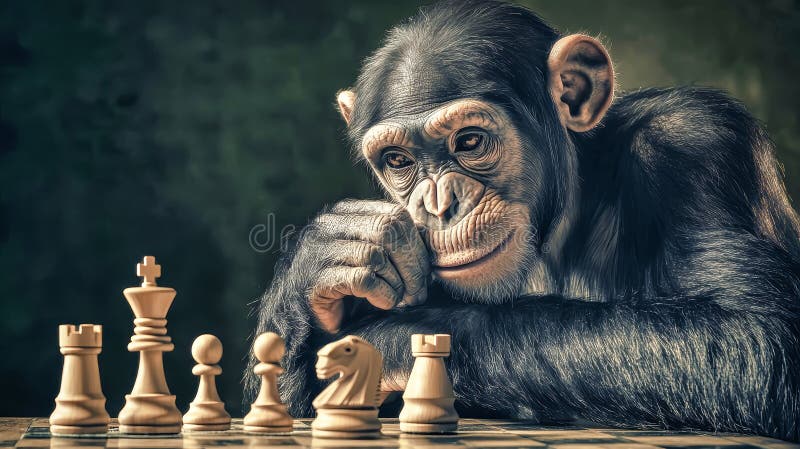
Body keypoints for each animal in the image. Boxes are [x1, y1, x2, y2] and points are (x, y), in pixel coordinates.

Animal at [247, 0, 800, 441]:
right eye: (399, 161)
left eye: (470, 141)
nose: (438, 205)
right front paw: (326, 259)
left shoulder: (697, 142)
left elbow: (756, 337)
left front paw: (392, 337)